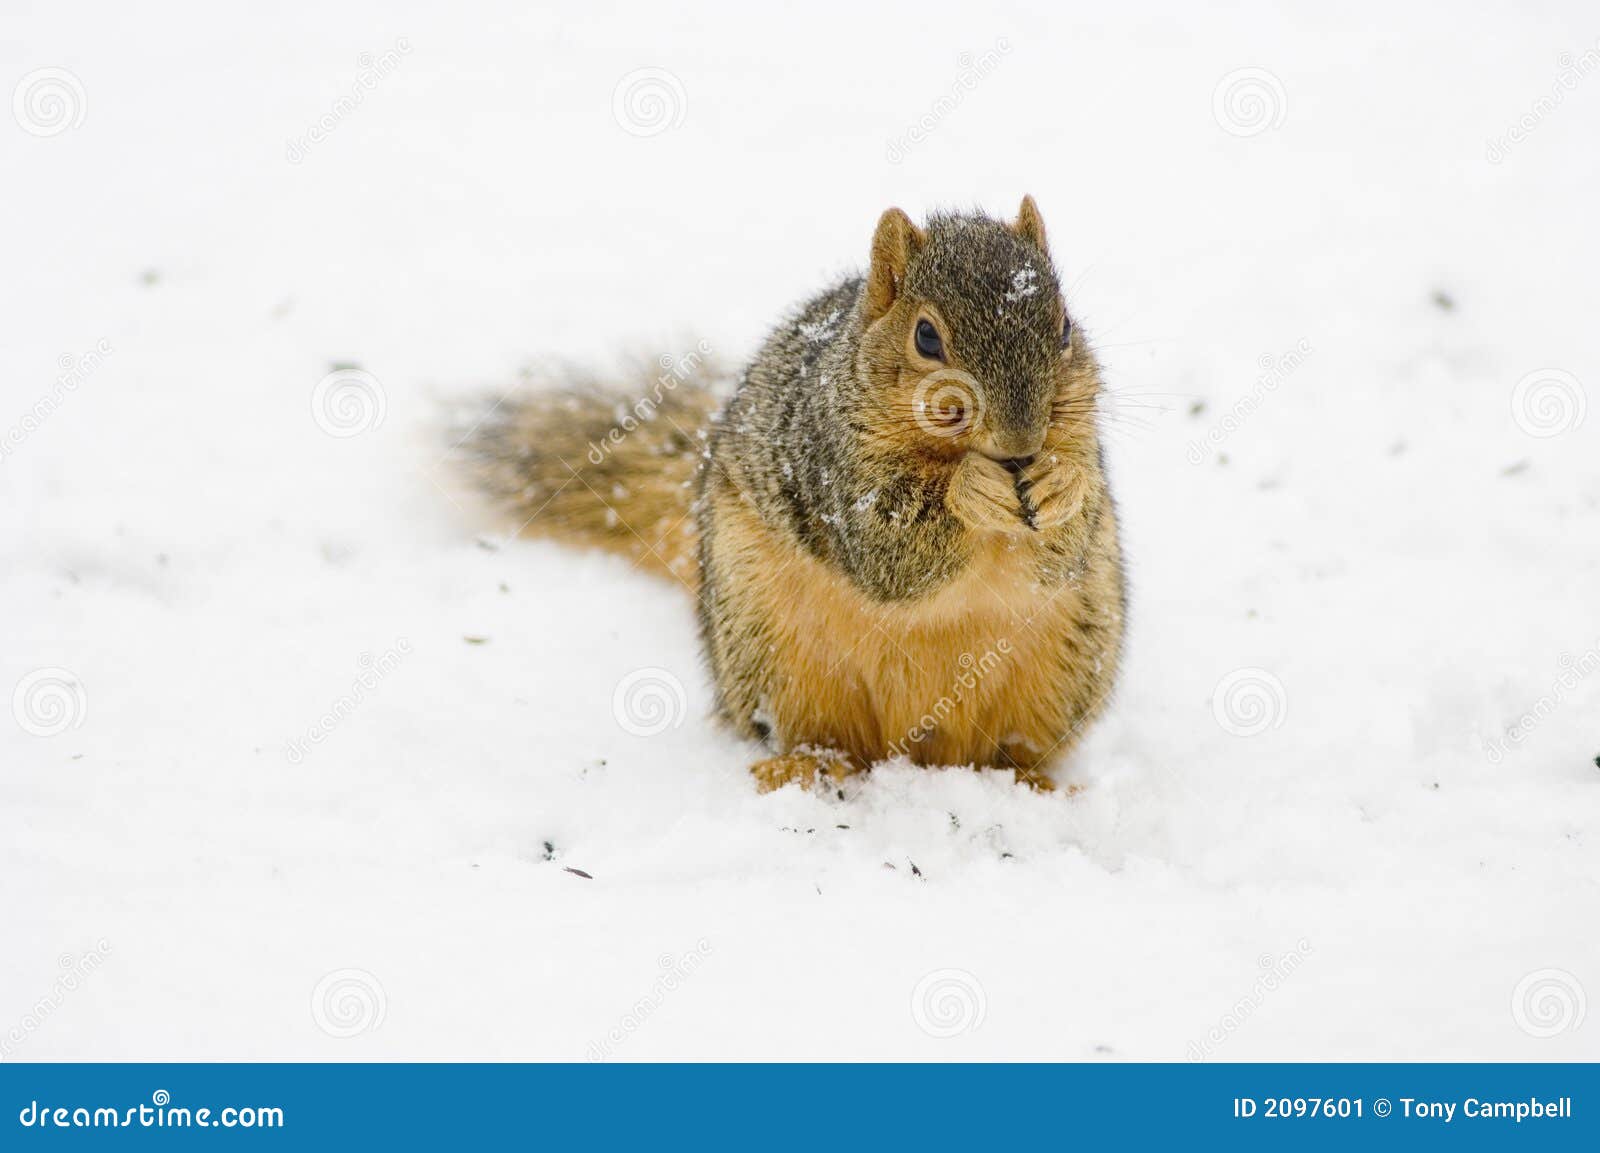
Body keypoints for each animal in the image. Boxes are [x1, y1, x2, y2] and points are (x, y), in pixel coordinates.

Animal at [467, 197, 1125, 793]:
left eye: (1065, 326)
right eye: (926, 337)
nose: (1021, 441)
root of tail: (914, 754)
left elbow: (1062, 550)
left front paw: (1062, 482)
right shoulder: (829, 465)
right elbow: (885, 546)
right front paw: (972, 489)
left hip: (1067, 663)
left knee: (1009, 749)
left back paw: (1027, 783)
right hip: (770, 646)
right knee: (814, 732)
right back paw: (808, 766)